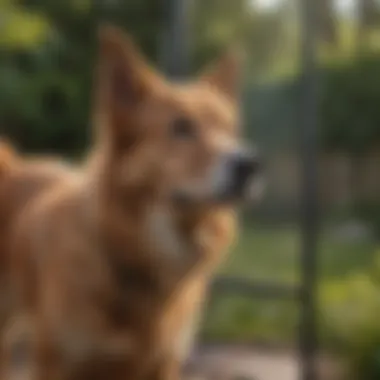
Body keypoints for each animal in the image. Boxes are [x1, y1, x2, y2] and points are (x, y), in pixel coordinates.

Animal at [4, 26, 262, 380]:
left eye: (230, 131)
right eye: (181, 127)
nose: (249, 164)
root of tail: (14, 165)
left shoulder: (162, 365)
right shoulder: (56, 364)